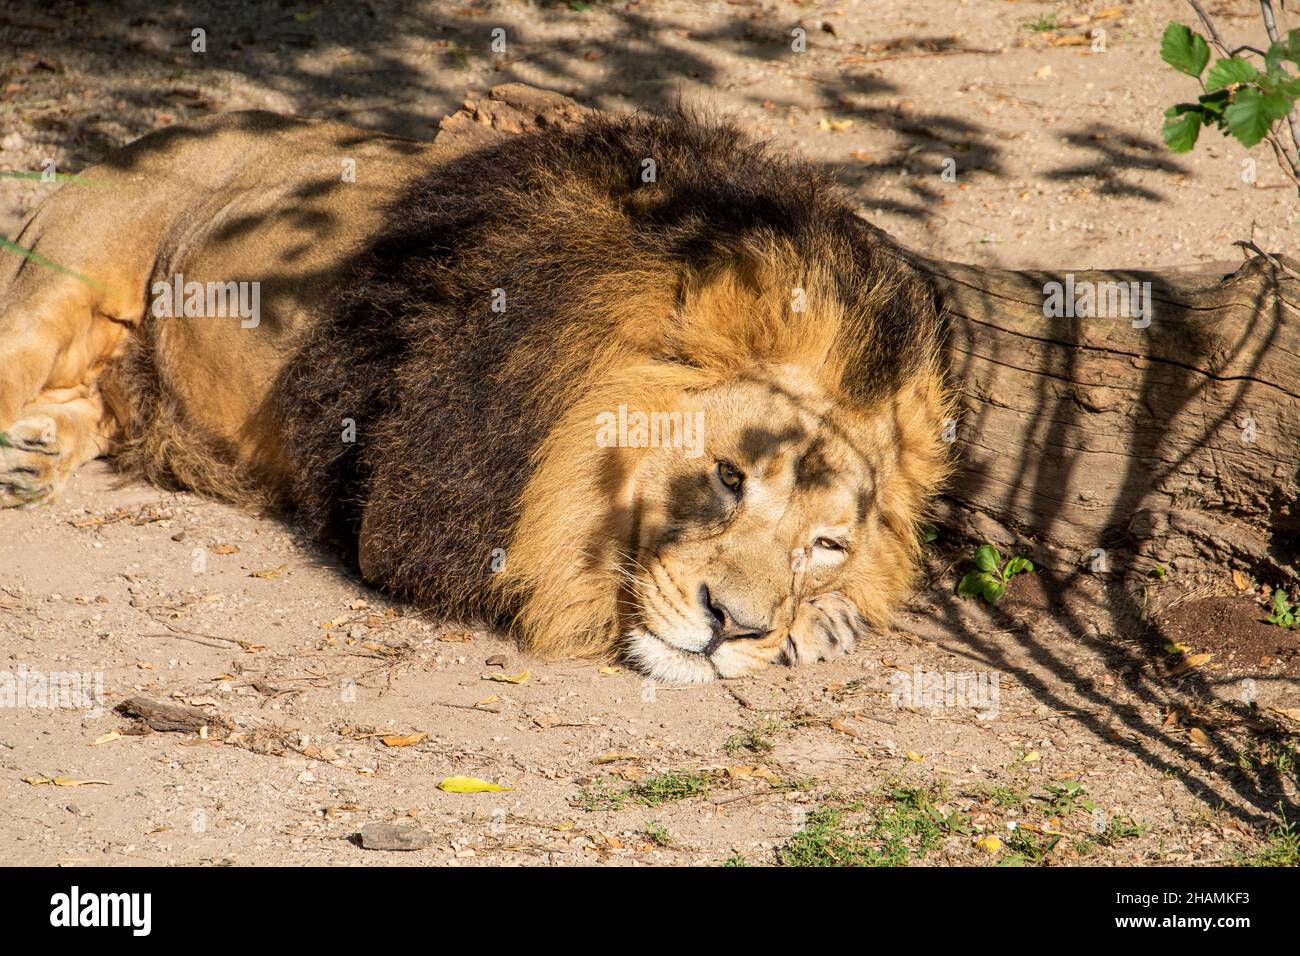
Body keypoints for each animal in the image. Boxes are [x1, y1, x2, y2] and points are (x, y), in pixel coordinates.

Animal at [0, 90, 952, 682]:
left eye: (825, 544)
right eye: (727, 476)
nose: (736, 626)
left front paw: (822, 619)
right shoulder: (412, 517)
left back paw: (30, 459)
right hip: (66, 278)